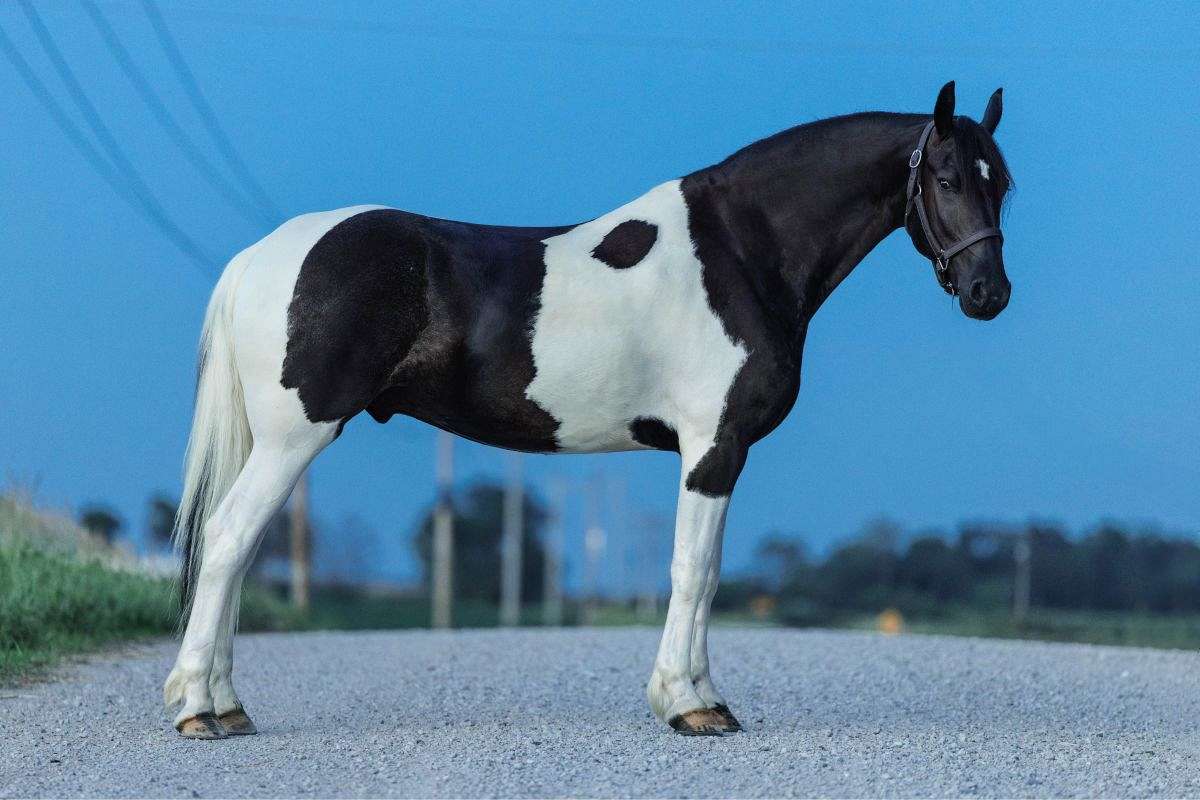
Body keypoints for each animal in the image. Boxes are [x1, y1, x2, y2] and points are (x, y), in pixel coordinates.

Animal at [164, 81, 1012, 738]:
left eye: (999, 181)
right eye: (944, 177)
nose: (988, 293)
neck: (742, 252)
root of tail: (263, 256)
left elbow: (700, 573)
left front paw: (698, 699)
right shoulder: (714, 445)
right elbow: (695, 570)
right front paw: (691, 706)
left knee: (237, 551)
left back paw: (227, 705)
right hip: (292, 437)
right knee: (229, 539)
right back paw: (198, 710)